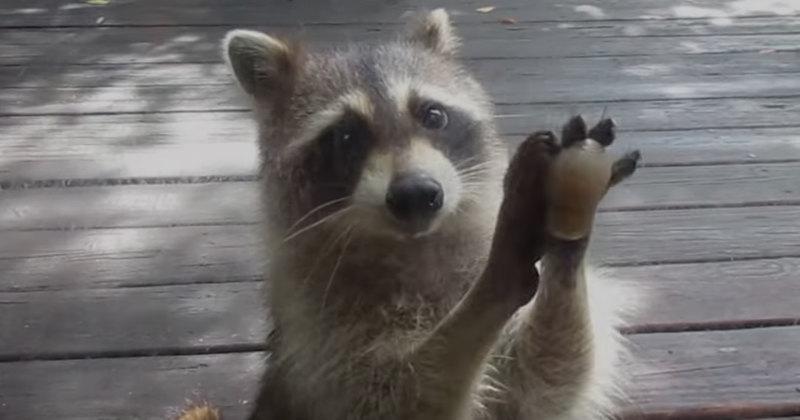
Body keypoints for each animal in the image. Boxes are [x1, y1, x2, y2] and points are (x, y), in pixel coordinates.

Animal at [183, 8, 640, 420]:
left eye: (433, 115)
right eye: (345, 136)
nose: (417, 194)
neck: (416, 247)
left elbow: (541, 385)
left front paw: (569, 235)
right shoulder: (316, 337)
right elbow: (392, 396)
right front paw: (496, 279)